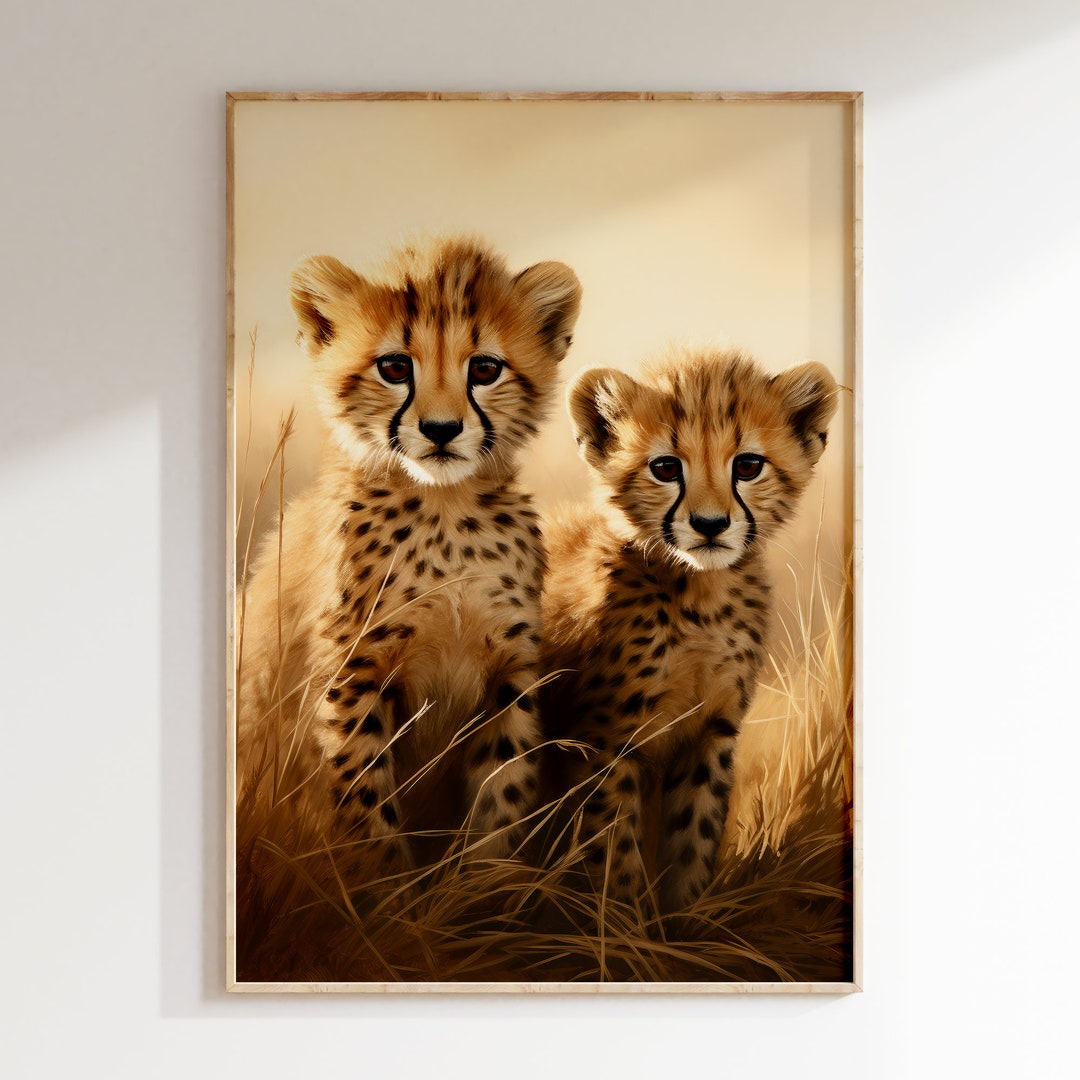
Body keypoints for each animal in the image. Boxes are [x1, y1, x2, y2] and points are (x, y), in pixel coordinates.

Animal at [237, 235, 582, 876]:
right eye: (395, 367)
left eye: (485, 369)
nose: (441, 429)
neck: (446, 511)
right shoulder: (353, 680)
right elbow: (366, 805)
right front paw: (385, 892)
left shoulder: (510, 678)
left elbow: (502, 794)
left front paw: (484, 890)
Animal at [540, 346, 838, 913]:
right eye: (665, 468)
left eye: (747, 465)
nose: (710, 525)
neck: (701, 595)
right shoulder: (607, 741)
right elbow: (616, 853)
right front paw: (628, 929)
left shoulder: (711, 731)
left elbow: (693, 841)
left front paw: (687, 922)